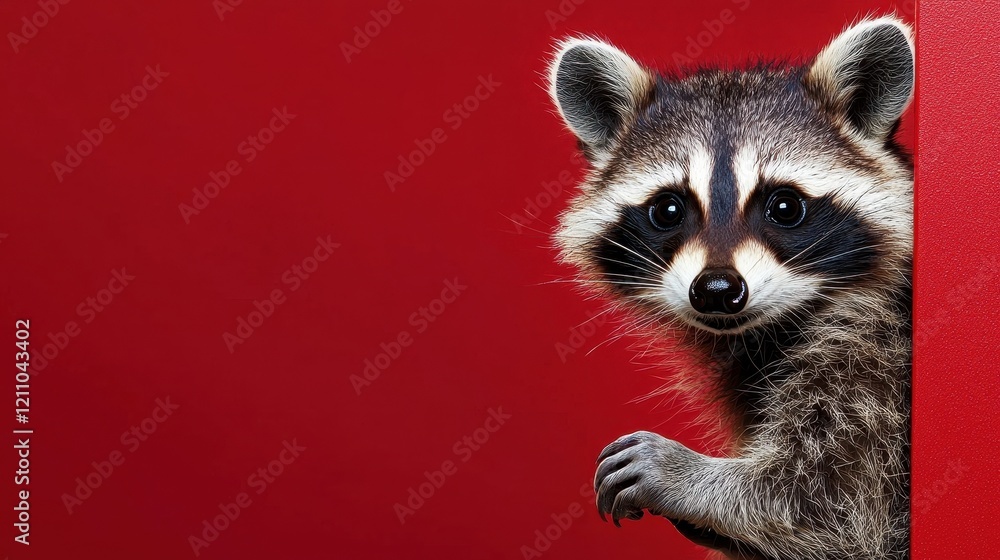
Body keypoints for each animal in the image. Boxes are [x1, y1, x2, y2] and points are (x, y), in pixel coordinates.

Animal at [546, 17, 913, 560]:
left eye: (785, 207)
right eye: (668, 210)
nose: (717, 289)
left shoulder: (875, 358)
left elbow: (835, 503)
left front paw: (687, 477)